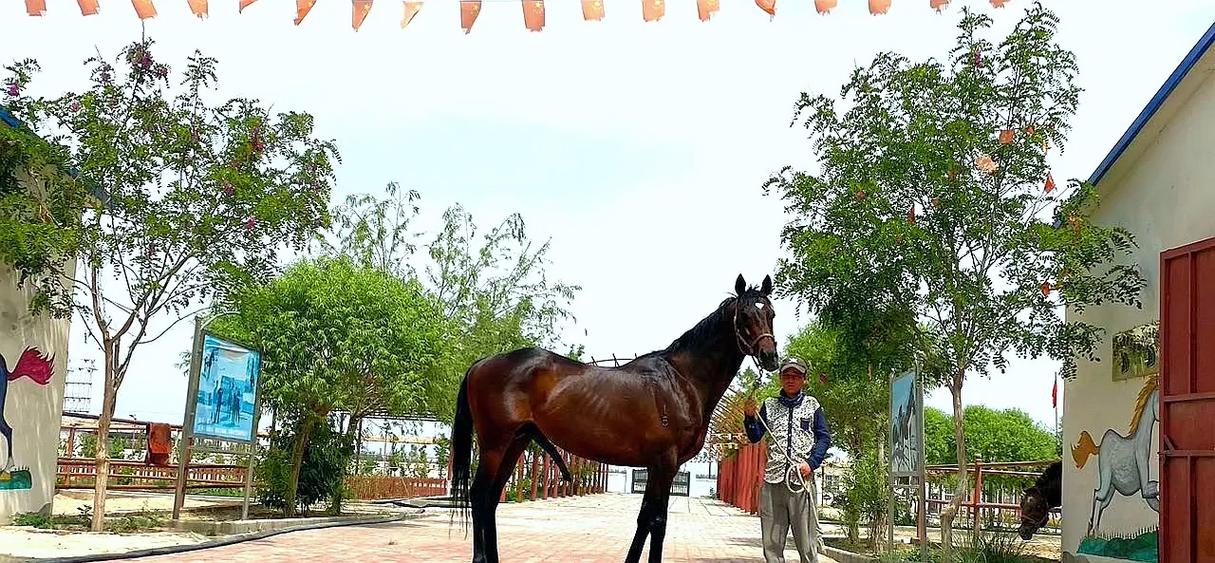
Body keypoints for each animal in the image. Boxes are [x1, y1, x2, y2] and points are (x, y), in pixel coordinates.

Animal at [449, 274, 780, 563]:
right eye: (745, 315)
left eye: (771, 313)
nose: (770, 357)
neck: (682, 380)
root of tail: (481, 363)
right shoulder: (665, 462)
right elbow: (657, 521)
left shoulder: (660, 466)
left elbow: (645, 518)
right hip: (494, 443)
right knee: (479, 495)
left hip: (516, 442)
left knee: (491, 499)